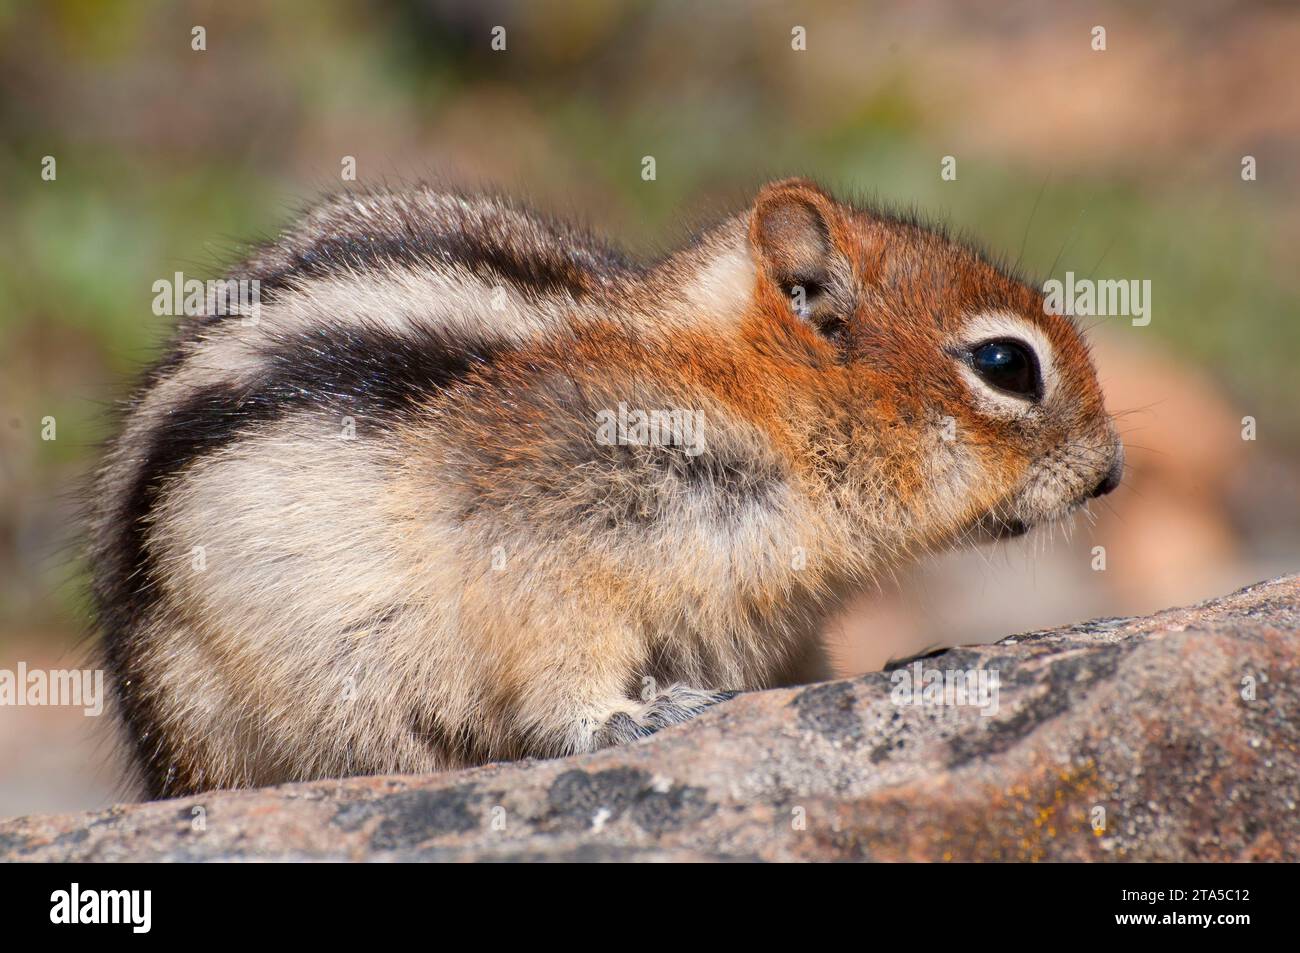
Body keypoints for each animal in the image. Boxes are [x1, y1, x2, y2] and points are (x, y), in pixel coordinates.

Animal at [90, 178, 1123, 798]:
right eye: (1006, 364)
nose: (1113, 469)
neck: (737, 395)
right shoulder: (547, 547)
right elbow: (559, 670)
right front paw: (630, 716)